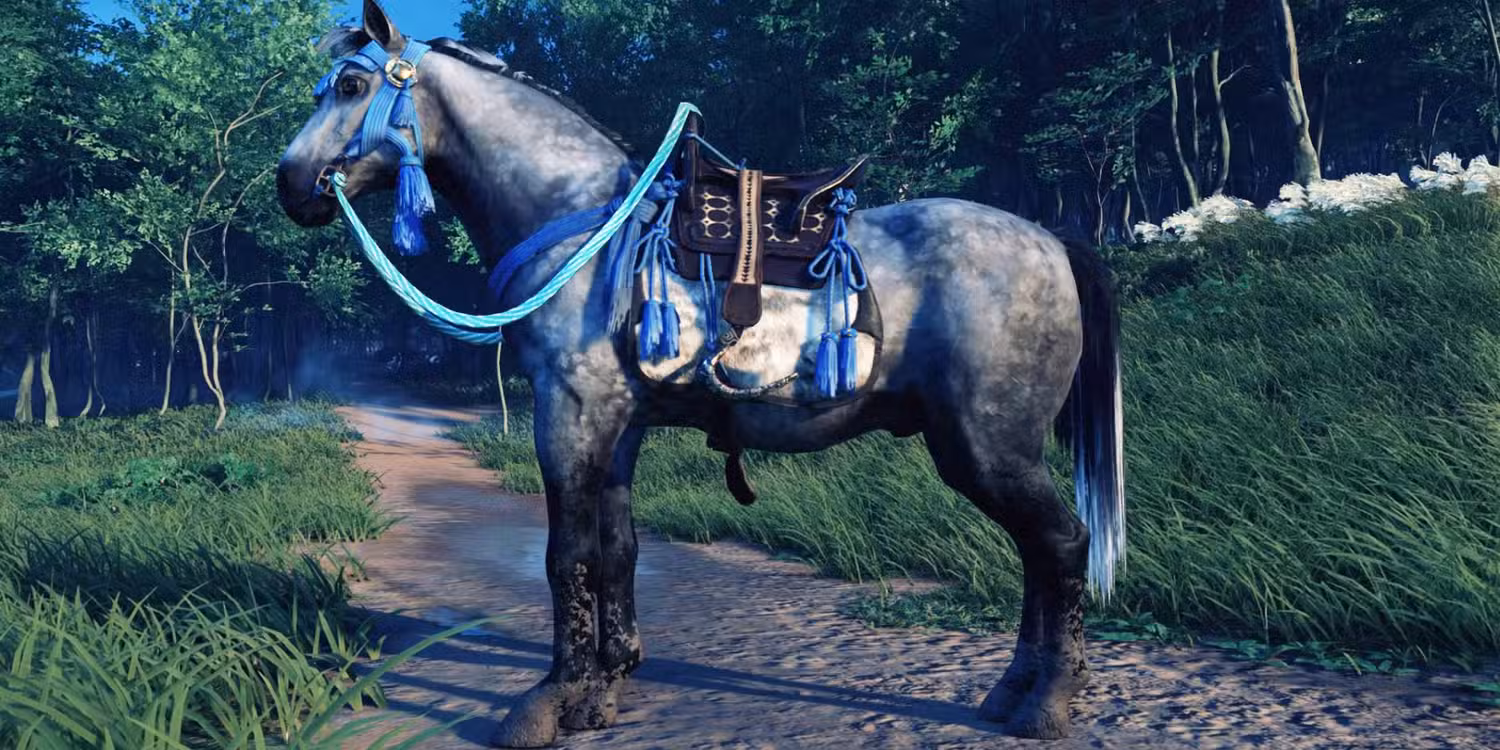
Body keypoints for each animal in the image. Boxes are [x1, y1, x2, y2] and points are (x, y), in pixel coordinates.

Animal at [276, 2, 1124, 745]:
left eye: (349, 86)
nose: (291, 183)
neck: (581, 221)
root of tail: (1052, 242)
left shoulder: (569, 413)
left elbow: (564, 557)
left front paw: (548, 702)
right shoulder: (615, 426)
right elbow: (614, 551)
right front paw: (606, 685)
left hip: (988, 448)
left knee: (1061, 545)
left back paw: (1046, 703)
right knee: (1039, 554)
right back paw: (1010, 692)